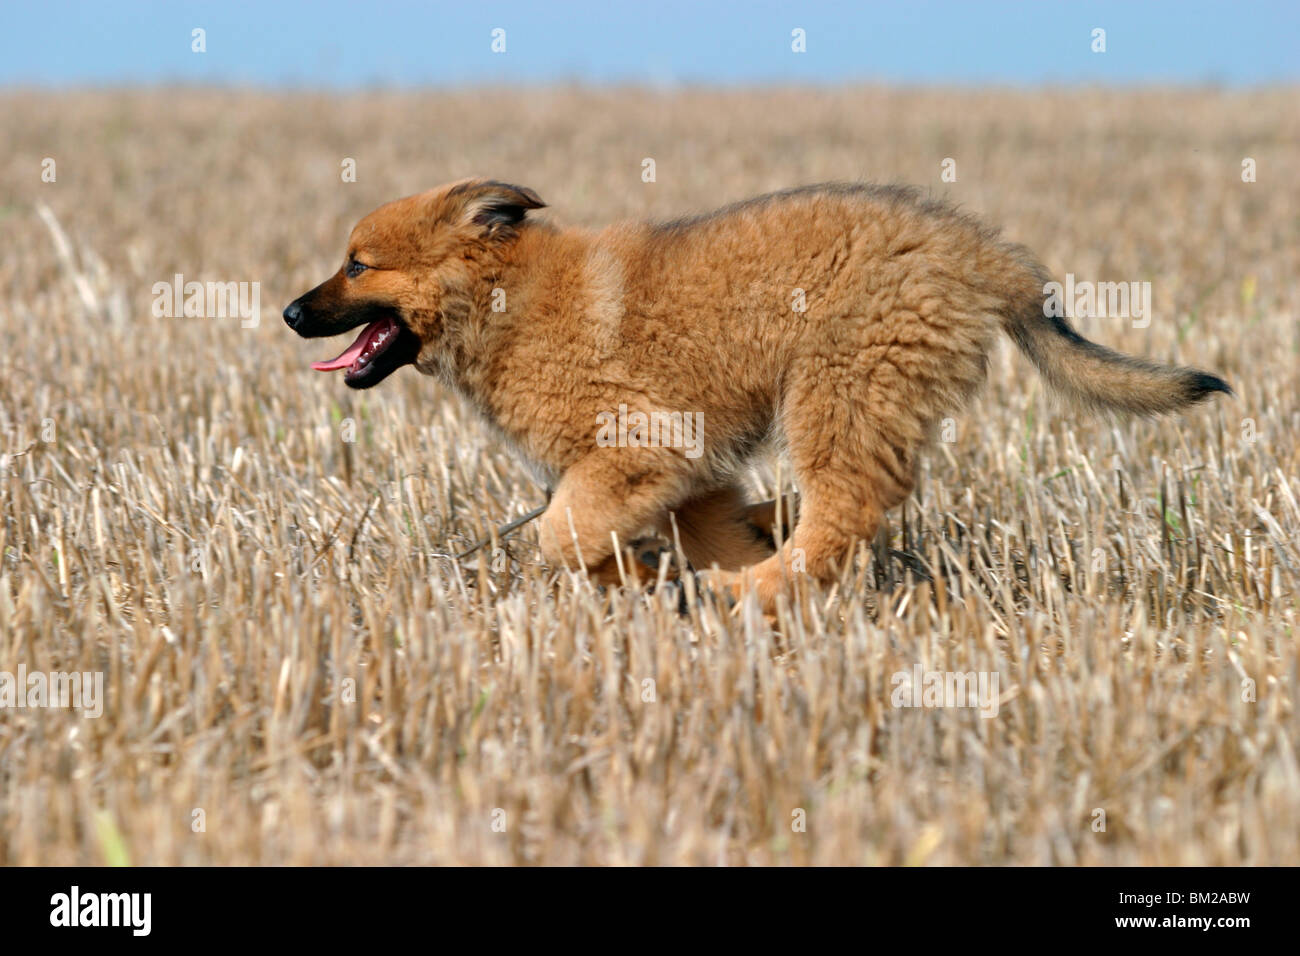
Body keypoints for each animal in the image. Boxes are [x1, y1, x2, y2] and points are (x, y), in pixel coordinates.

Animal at [284, 178, 1230, 611]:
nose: (291, 313)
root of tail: (973, 252)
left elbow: (559, 533)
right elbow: (665, 534)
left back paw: (763, 588)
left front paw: (648, 576)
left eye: (358, 266)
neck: (500, 300)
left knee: (842, 513)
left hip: (837, 387)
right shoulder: (688, 476)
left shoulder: (640, 443)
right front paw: (652, 577)